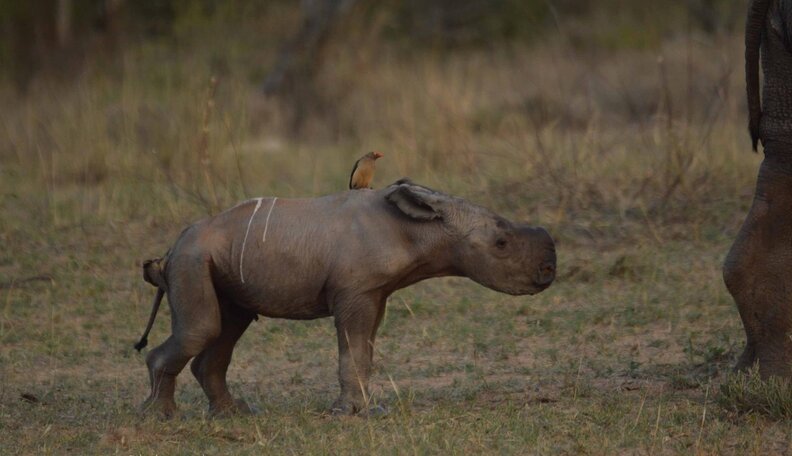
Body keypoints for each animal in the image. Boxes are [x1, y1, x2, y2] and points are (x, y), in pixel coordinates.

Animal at [135, 179, 556, 416]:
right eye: (501, 244)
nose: (549, 270)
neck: (422, 229)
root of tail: (170, 249)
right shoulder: (355, 292)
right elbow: (352, 350)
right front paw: (352, 413)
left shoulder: (375, 292)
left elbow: (365, 351)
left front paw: (369, 409)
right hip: (192, 258)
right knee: (202, 328)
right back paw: (159, 417)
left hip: (217, 258)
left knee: (228, 325)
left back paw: (234, 413)